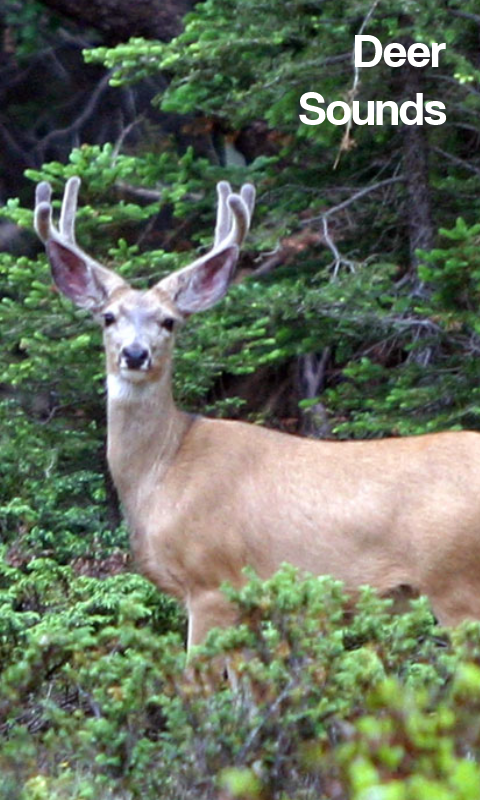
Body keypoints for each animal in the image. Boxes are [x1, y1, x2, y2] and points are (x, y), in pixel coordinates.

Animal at [34, 176, 480, 650]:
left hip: (455, 579)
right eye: (108, 317)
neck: (162, 471)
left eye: (169, 321)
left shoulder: (212, 579)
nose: (135, 355)